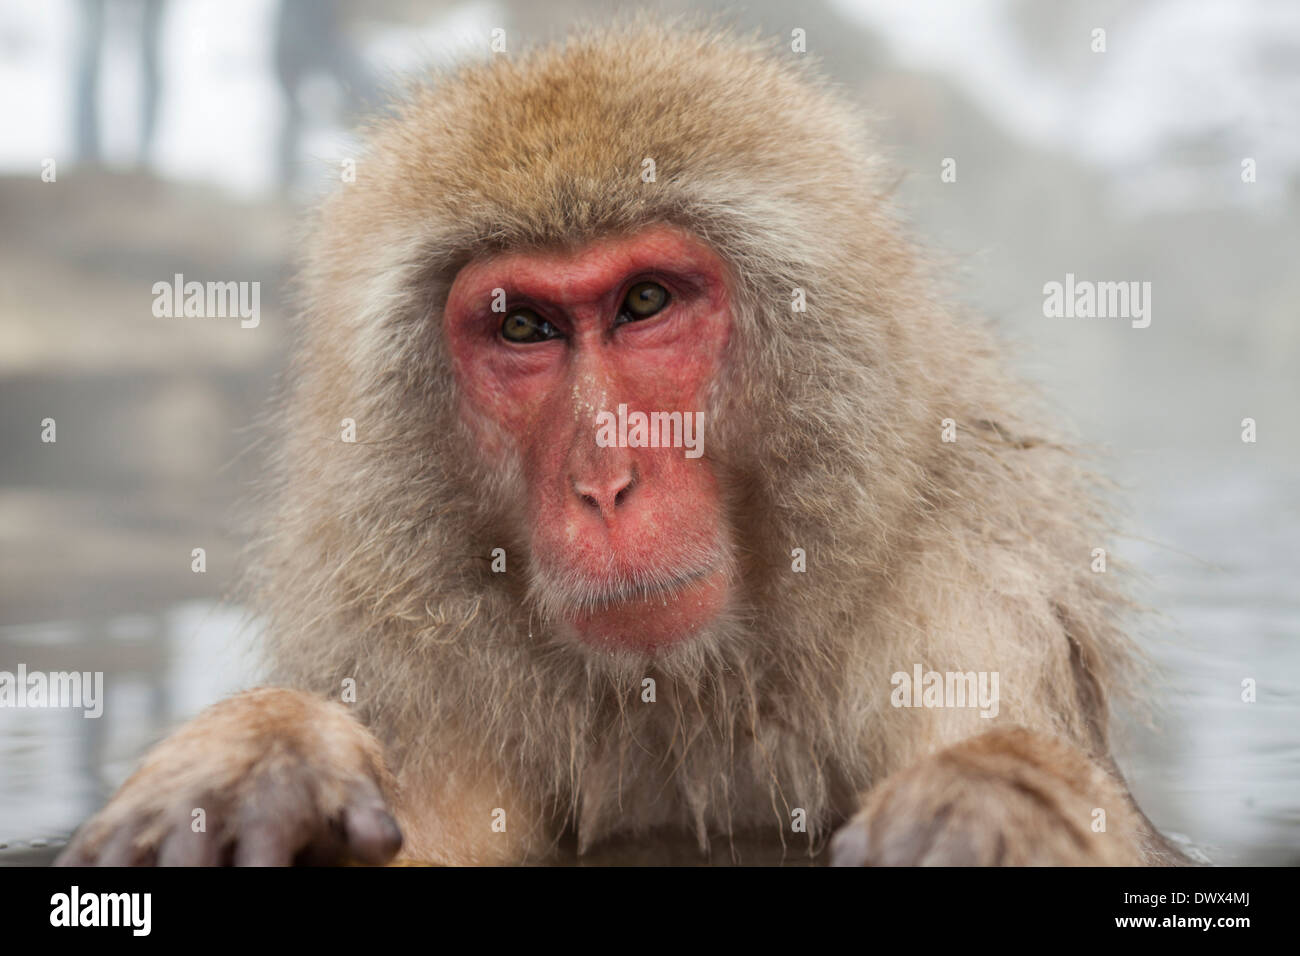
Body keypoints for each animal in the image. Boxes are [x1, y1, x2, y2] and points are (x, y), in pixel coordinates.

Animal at [57, 23, 1180, 867]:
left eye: (644, 303)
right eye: (524, 327)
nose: (604, 480)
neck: (680, 681)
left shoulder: (971, 587)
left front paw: (995, 796)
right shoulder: (410, 650)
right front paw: (262, 755)